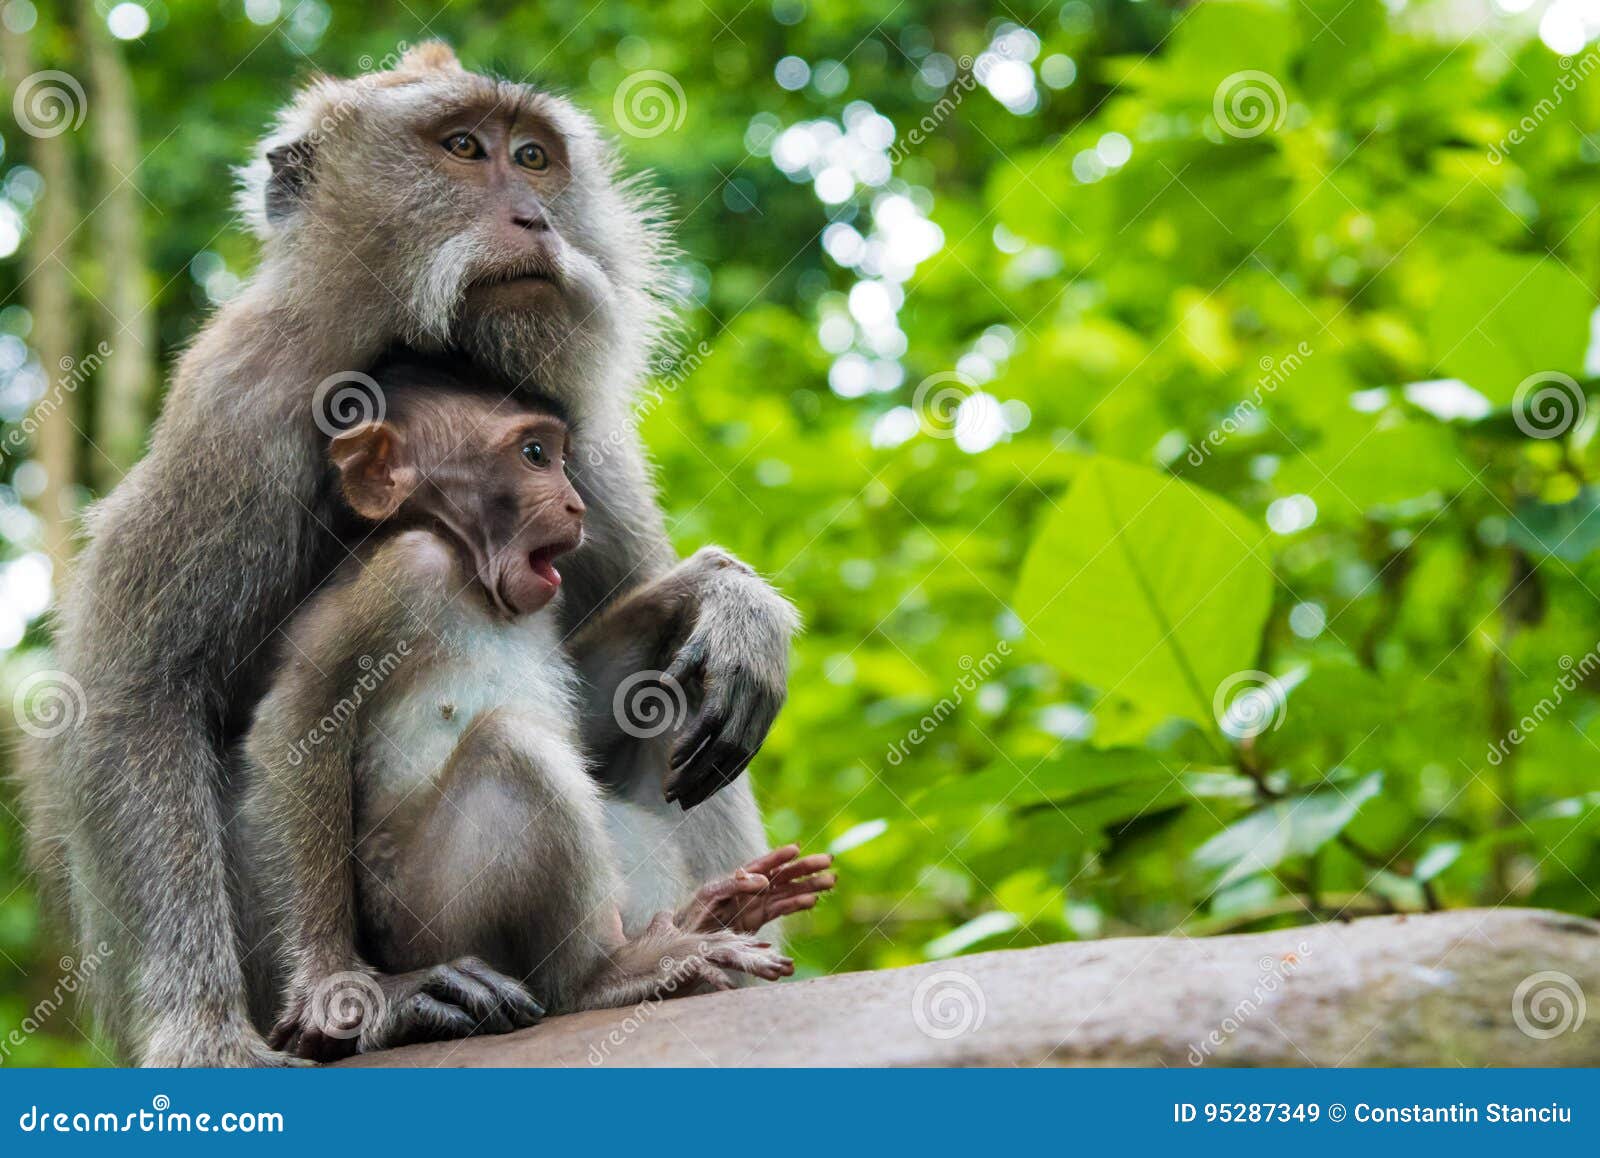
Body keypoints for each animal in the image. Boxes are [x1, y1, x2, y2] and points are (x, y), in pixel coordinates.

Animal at [233, 382, 833, 1061]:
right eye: (536, 455)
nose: (577, 505)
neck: (471, 578)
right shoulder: (399, 575)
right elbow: (298, 724)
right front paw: (330, 989)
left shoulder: (542, 603)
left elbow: (600, 717)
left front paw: (717, 592)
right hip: (431, 923)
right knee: (513, 750)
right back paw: (607, 973)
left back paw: (712, 916)